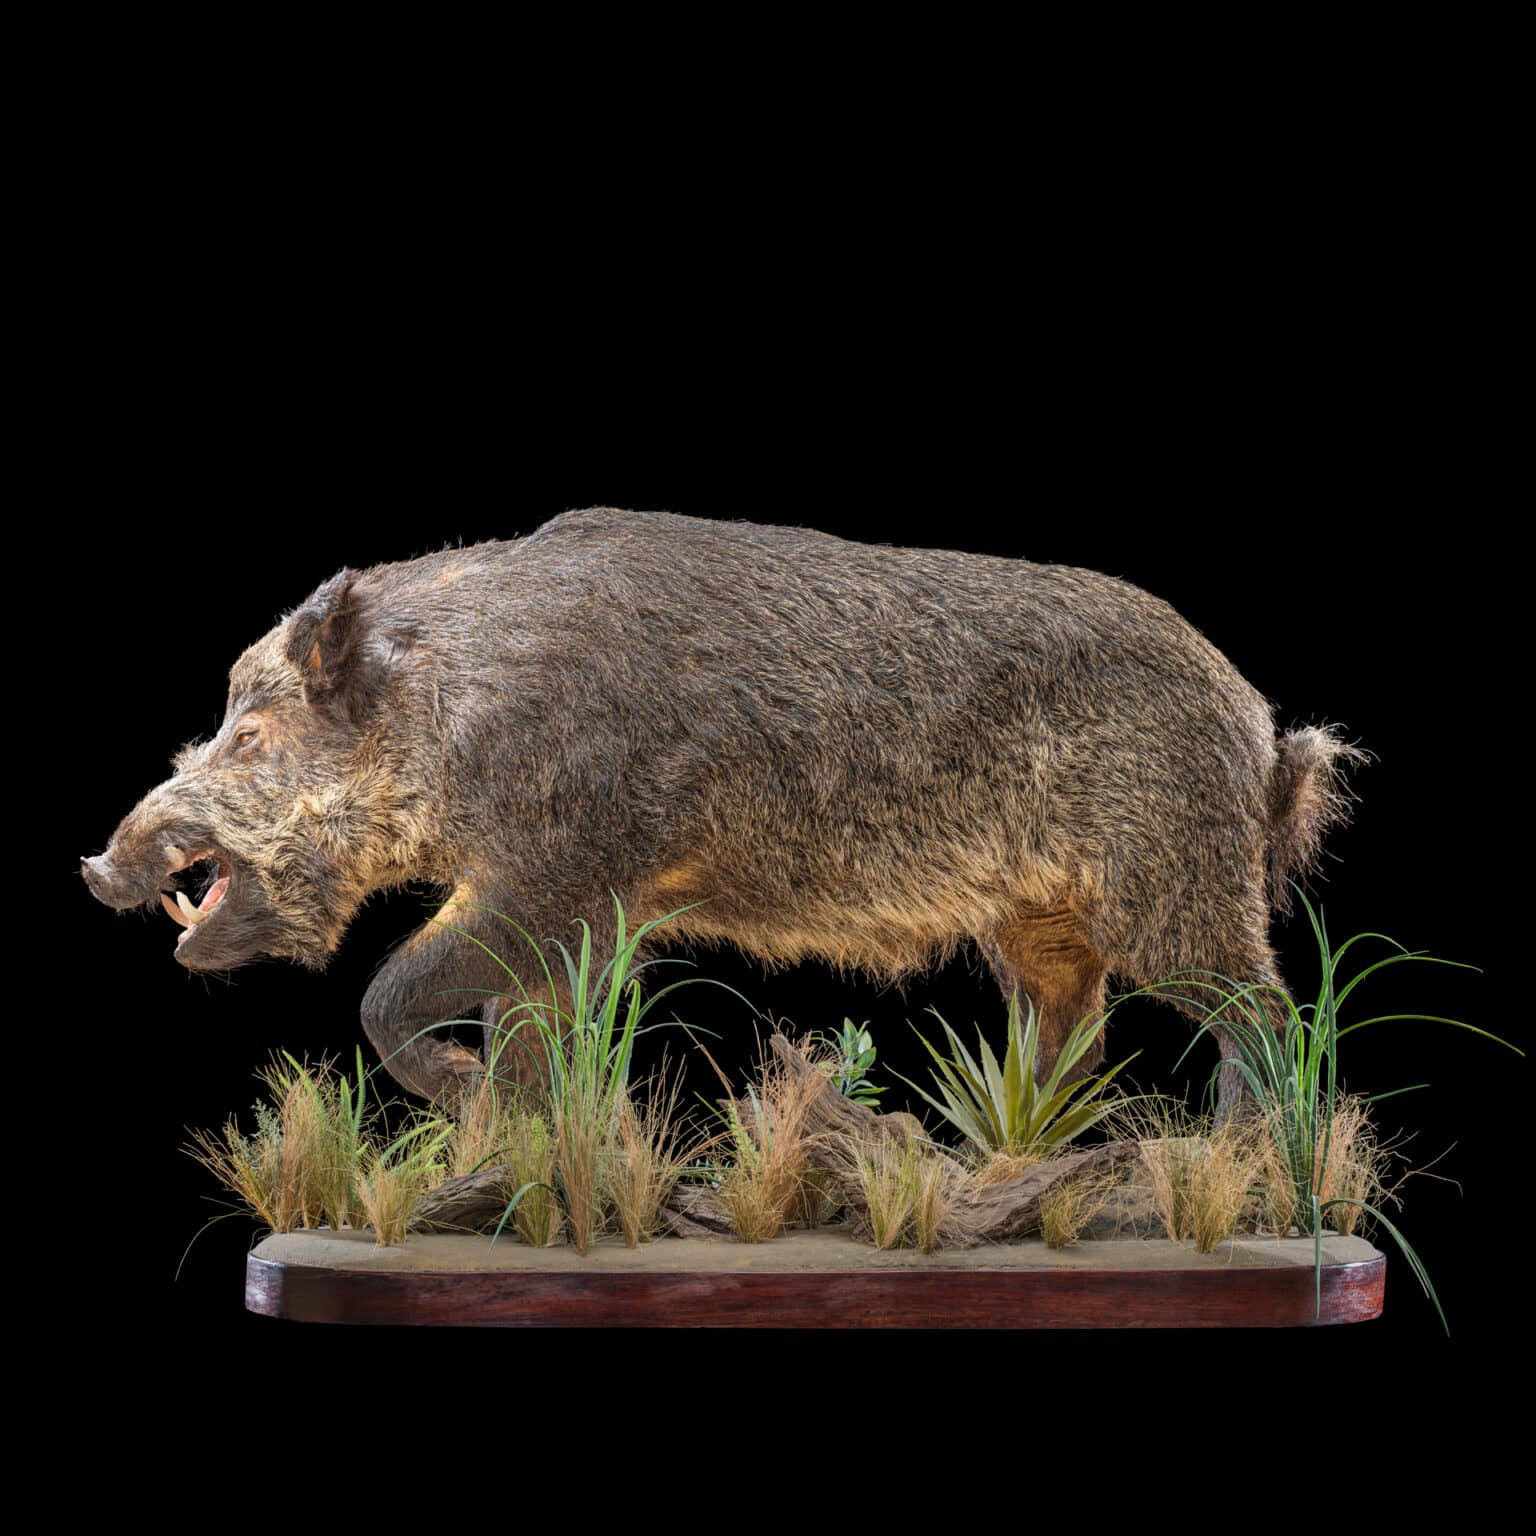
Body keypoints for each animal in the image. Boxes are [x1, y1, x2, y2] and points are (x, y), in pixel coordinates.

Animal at [81, 506, 1365, 1115]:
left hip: (1174, 886)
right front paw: (524, 1133)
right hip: (1039, 919)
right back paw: (1002, 1160)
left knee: (1265, 1011)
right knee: (1072, 1030)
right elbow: (535, 1026)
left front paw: (475, 1099)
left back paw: (1246, 1151)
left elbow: (388, 991)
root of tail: (1262, 727)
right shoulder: (585, 910)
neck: (457, 708)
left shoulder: (558, 869)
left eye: (251, 736)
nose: (96, 865)